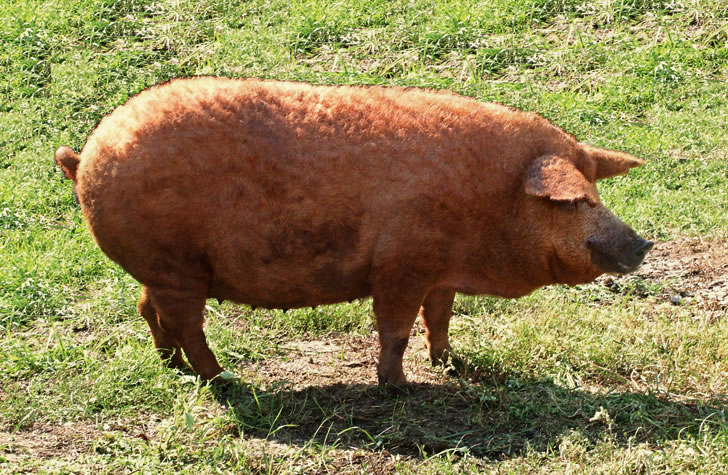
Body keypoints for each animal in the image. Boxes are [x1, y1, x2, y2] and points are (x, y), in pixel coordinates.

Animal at [54, 77, 653, 386]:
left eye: (597, 192)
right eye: (573, 202)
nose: (643, 242)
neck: (489, 203)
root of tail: (86, 155)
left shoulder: (437, 271)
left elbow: (440, 318)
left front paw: (450, 364)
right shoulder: (400, 265)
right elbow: (395, 330)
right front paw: (398, 387)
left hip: (161, 268)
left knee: (146, 308)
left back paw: (172, 367)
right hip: (176, 267)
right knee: (184, 322)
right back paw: (222, 379)